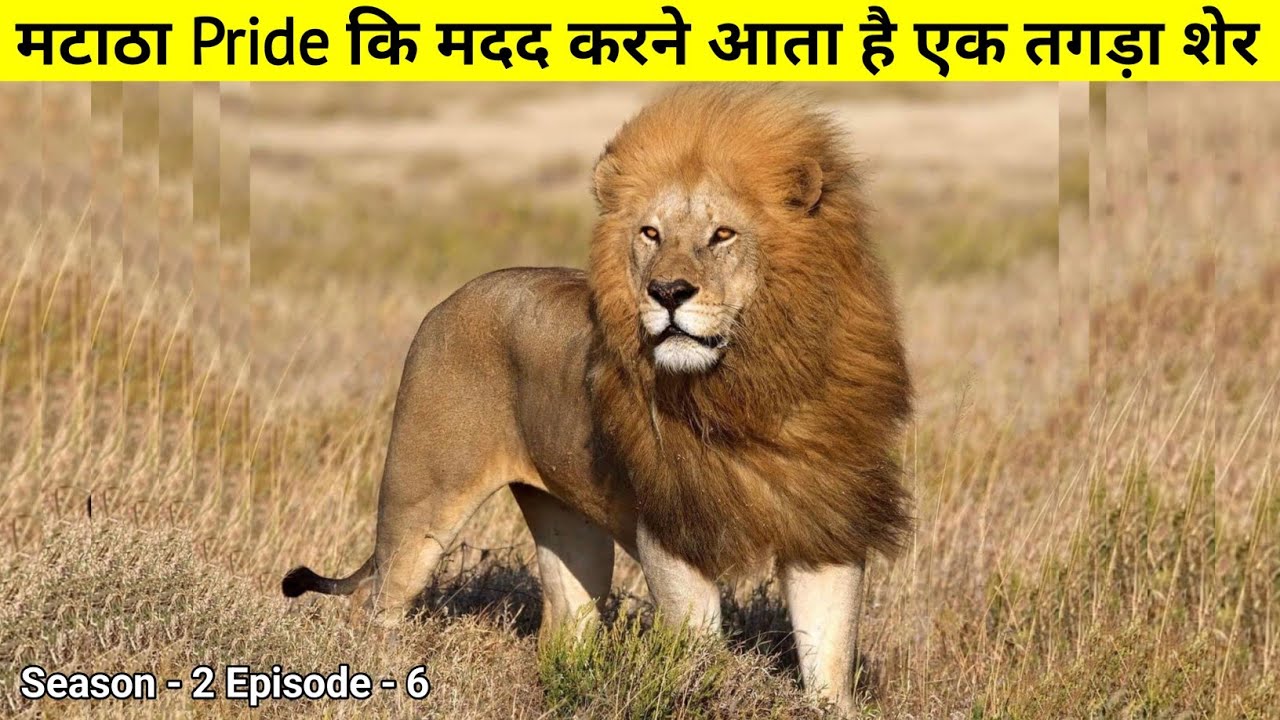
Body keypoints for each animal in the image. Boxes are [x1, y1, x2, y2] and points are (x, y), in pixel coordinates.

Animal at [282, 85, 913, 713]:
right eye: (651, 233)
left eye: (723, 235)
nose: (667, 291)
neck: (746, 388)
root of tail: (454, 297)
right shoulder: (670, 532)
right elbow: (699, 651)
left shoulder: (825, 525)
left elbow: (828, 663)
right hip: (420, 496)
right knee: (378, 603)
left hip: (568, 524)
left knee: (566, 626)